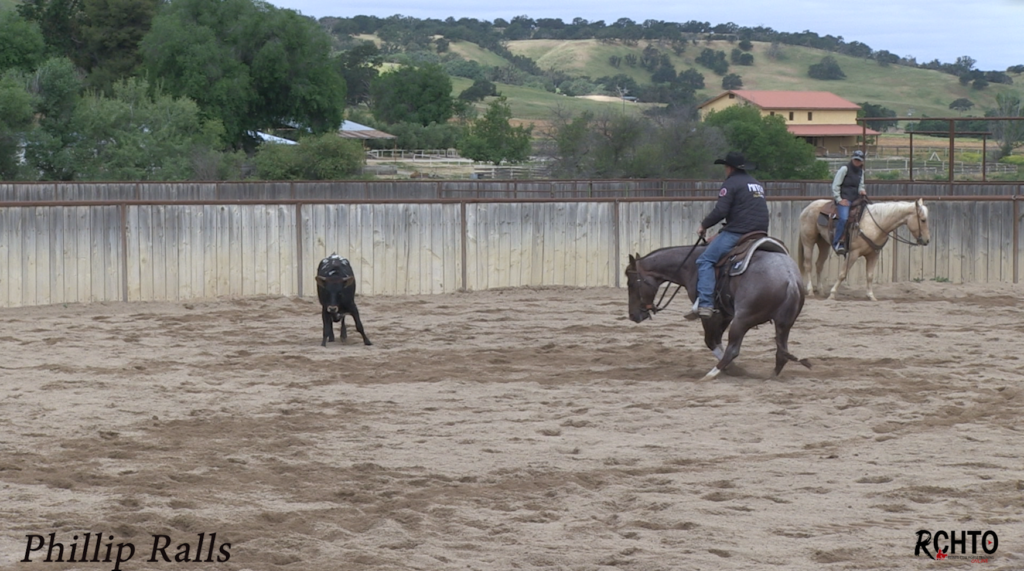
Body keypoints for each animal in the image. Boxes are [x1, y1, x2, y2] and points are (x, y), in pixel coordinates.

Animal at [625, 242, 811, 381]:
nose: (633, 316)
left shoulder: (711, 314)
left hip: (743, 319)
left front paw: (732, 369)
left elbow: (711, 341)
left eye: (631, 283)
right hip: (783, 324)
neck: (690, 265)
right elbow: (716, 339)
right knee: (781, 353)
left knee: (733, 350)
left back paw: (710, 375)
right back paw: (770, 376)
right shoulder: (725, 313)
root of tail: (790, 279)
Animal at [798, 198, 930, 301]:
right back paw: (810, 291)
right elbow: (842, 274)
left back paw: (820, 291)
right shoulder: (853, 253)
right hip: (808, 241)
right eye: (923, 220)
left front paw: (871, 296)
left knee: (819, 265)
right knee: (808, 265)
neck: (875, 224)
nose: (927, 240)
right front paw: (832, 294)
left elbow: (870, 275)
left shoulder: (874, 254)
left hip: (824, 244)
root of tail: (808, 207)